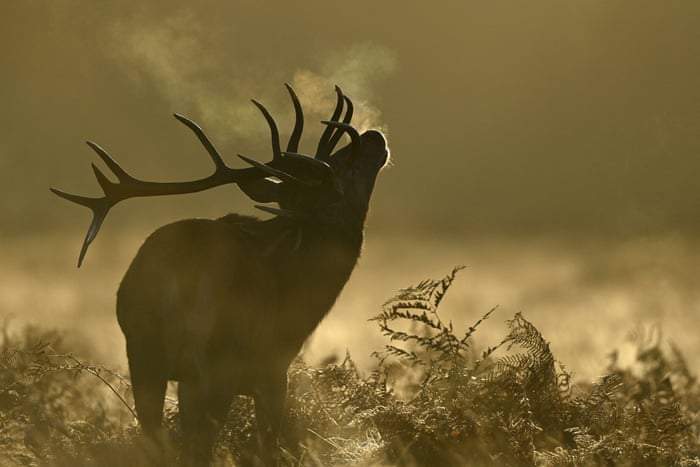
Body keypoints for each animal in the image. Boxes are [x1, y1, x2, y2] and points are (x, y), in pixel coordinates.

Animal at [51, 84, 389, 465]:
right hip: (215, 360)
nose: (373, 135)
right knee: (199, 443)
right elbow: (266, 445)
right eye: (343, 169)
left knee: (156, 436)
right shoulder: (273, 369)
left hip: (143, 351)